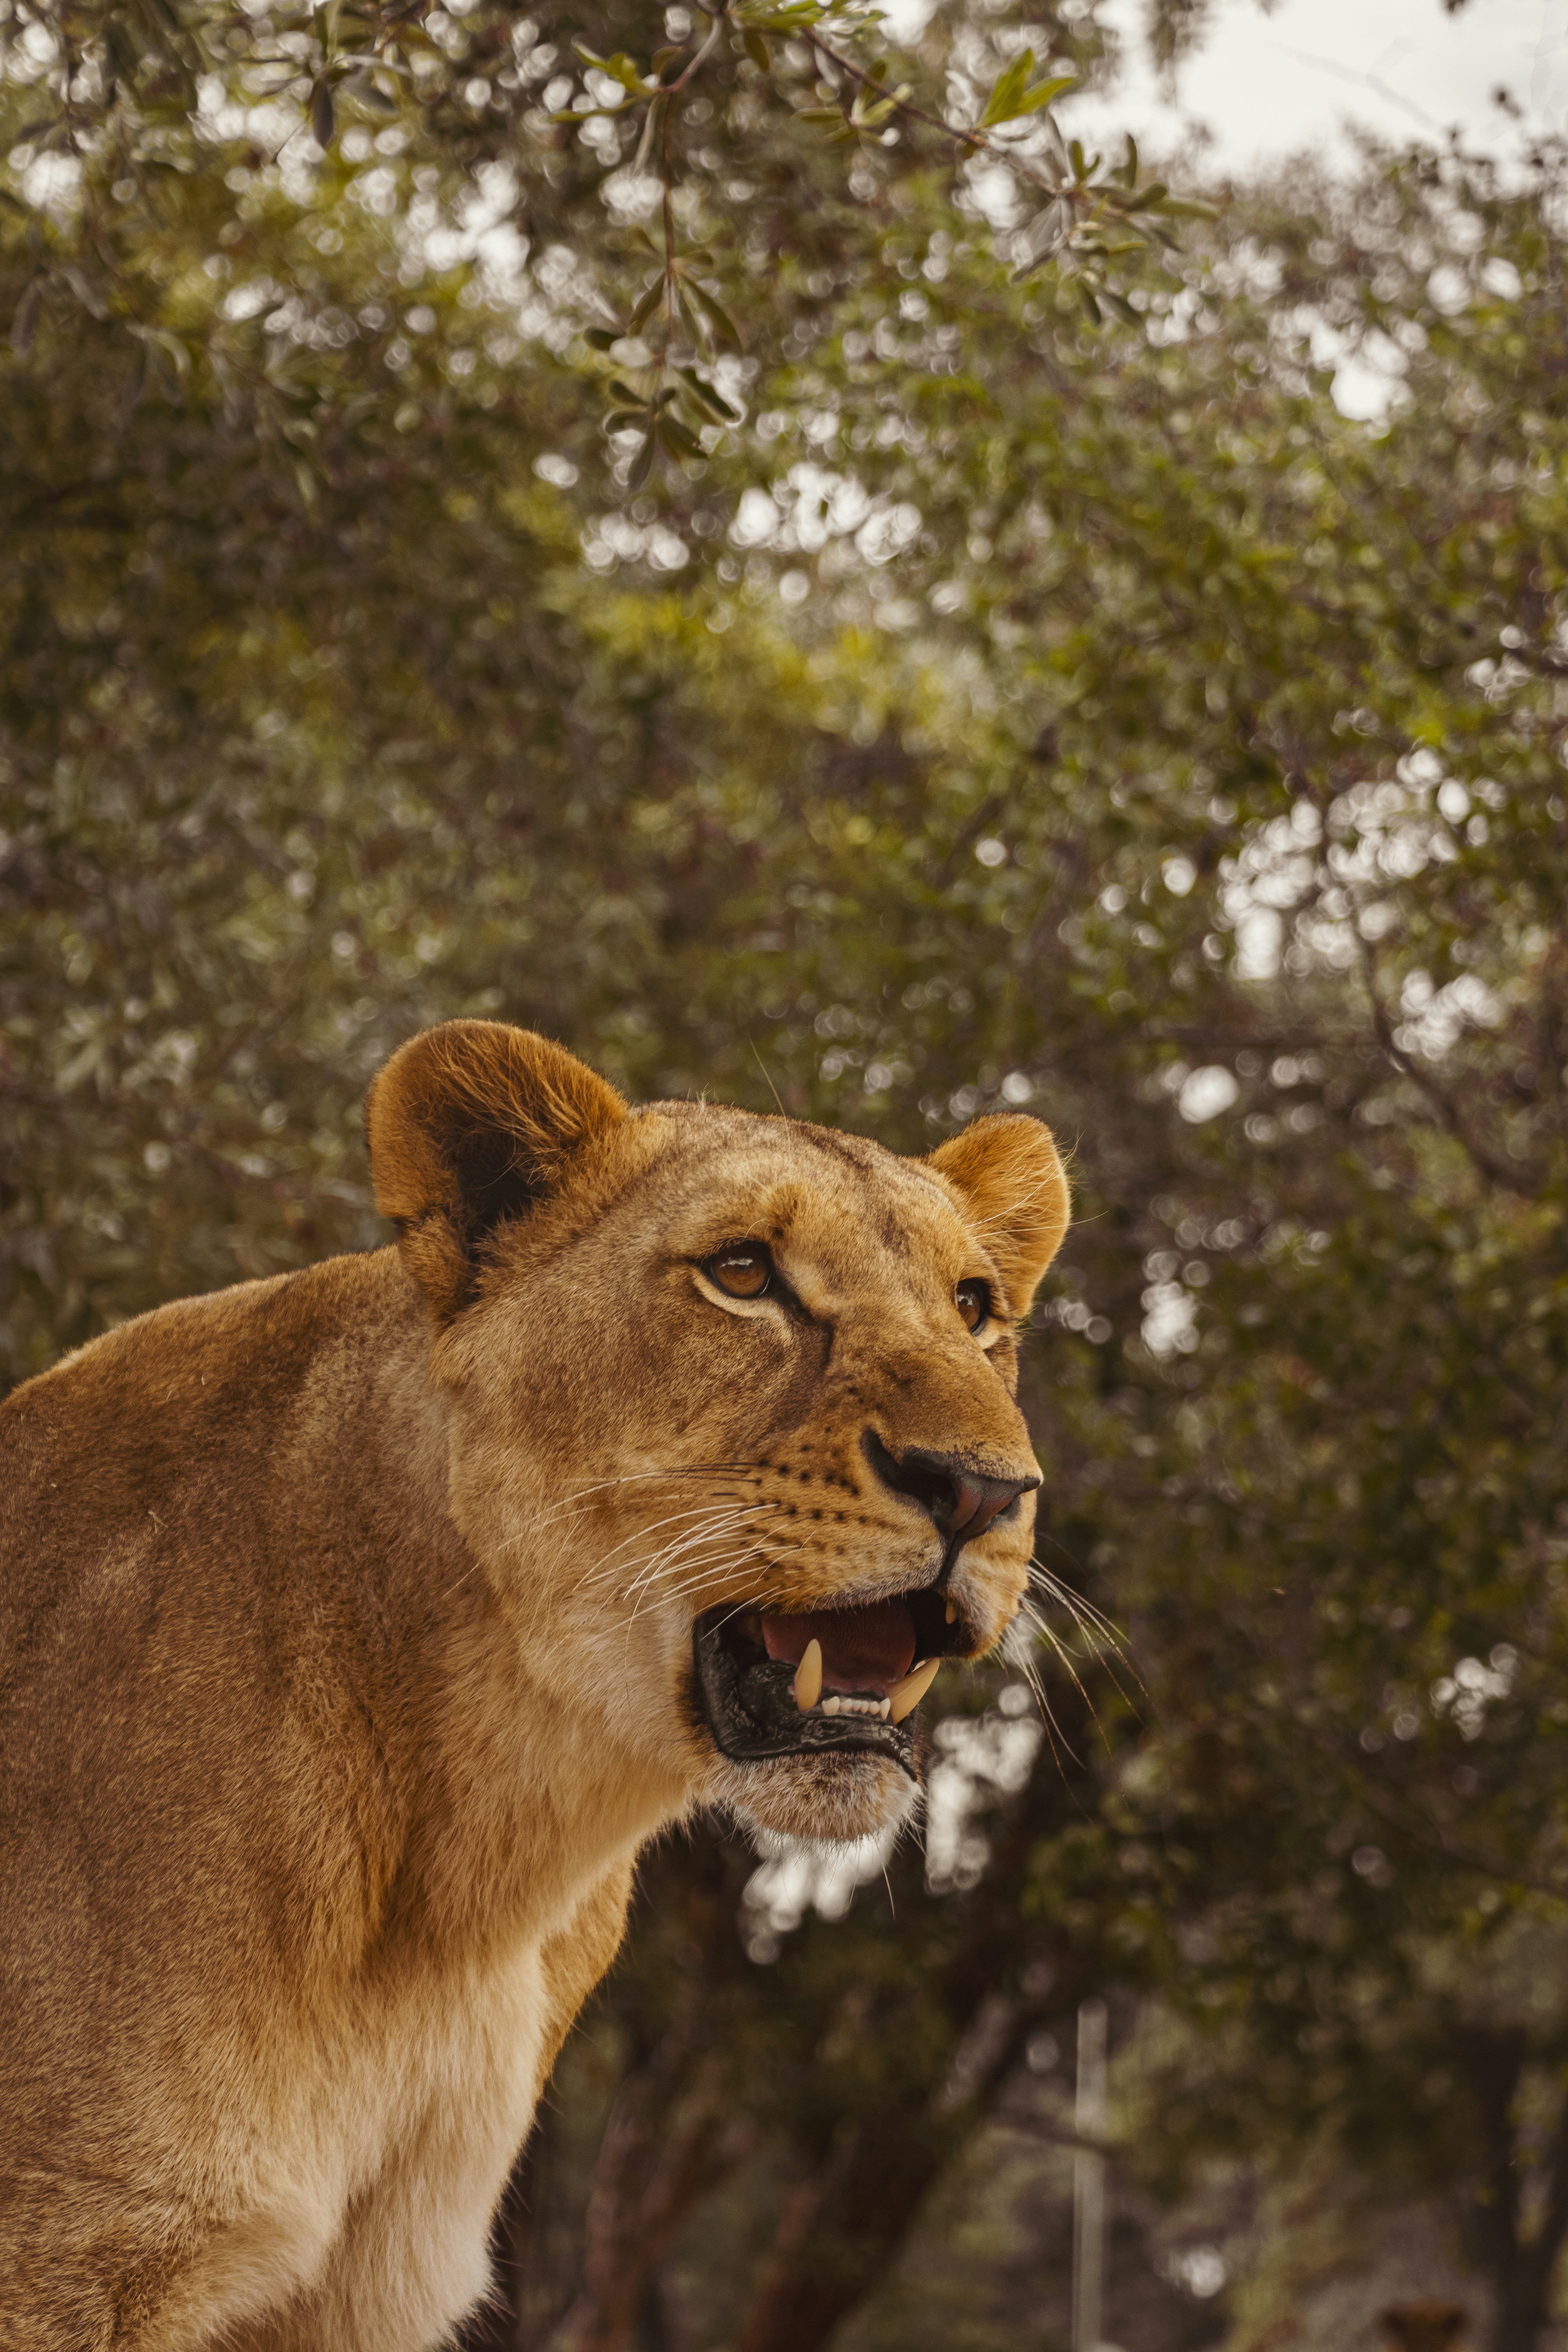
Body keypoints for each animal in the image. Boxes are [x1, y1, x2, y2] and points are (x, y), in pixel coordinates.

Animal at [0, 1019, 1069, 2350]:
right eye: (742, 1272)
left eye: (977, 1309)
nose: (981, 1488)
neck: (469, 1873)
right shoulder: (72, 2249)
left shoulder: (365, 2288)